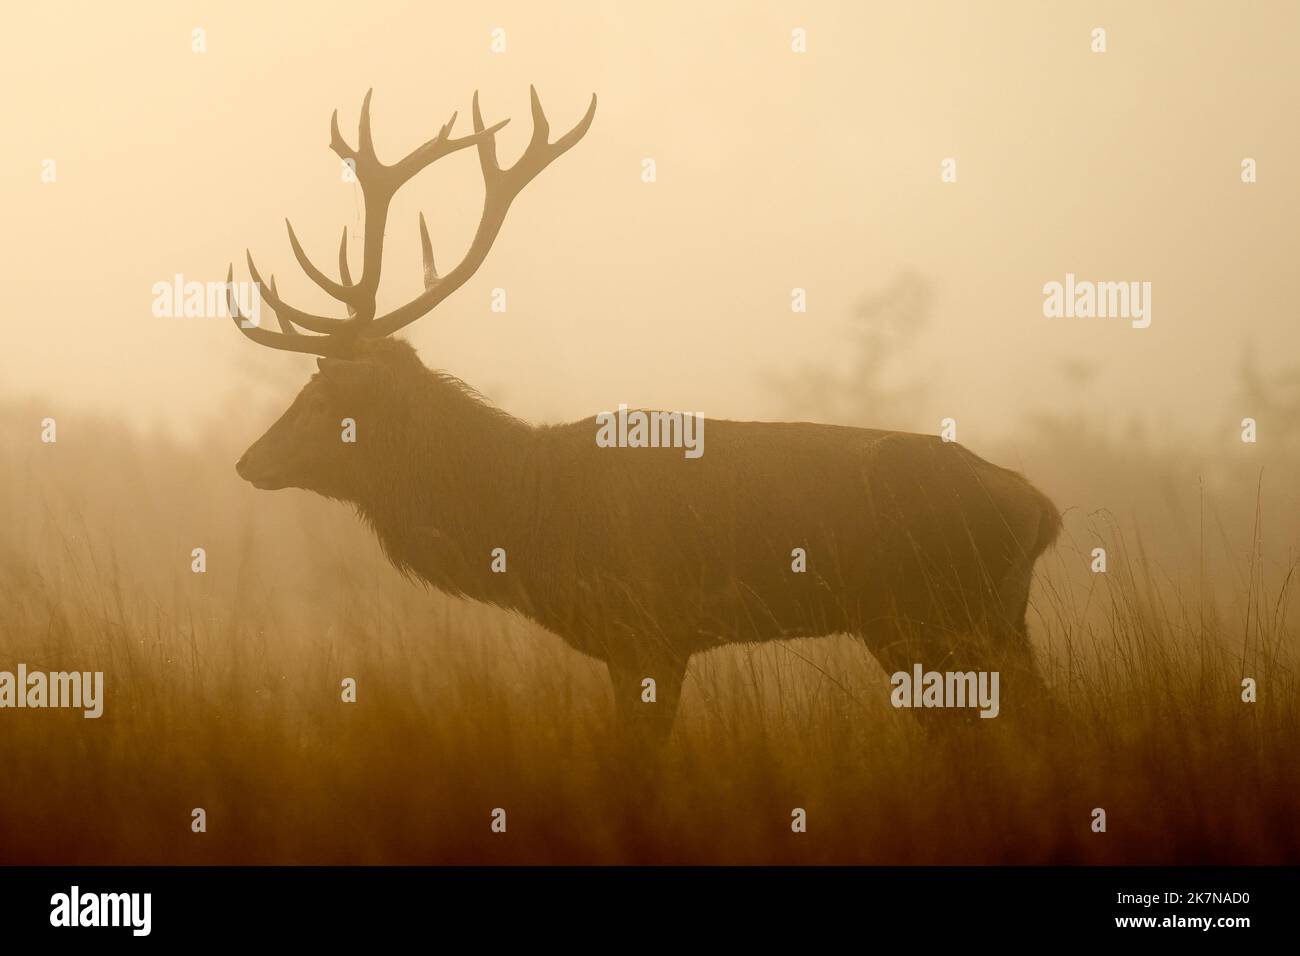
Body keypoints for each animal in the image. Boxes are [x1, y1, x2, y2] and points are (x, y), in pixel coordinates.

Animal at [228, 87, 1061, 745]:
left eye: (321, 399)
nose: (246, 461)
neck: (522, 515)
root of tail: (1040, 510)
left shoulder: (646, 633)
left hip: (926, 611)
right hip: (985, 621)